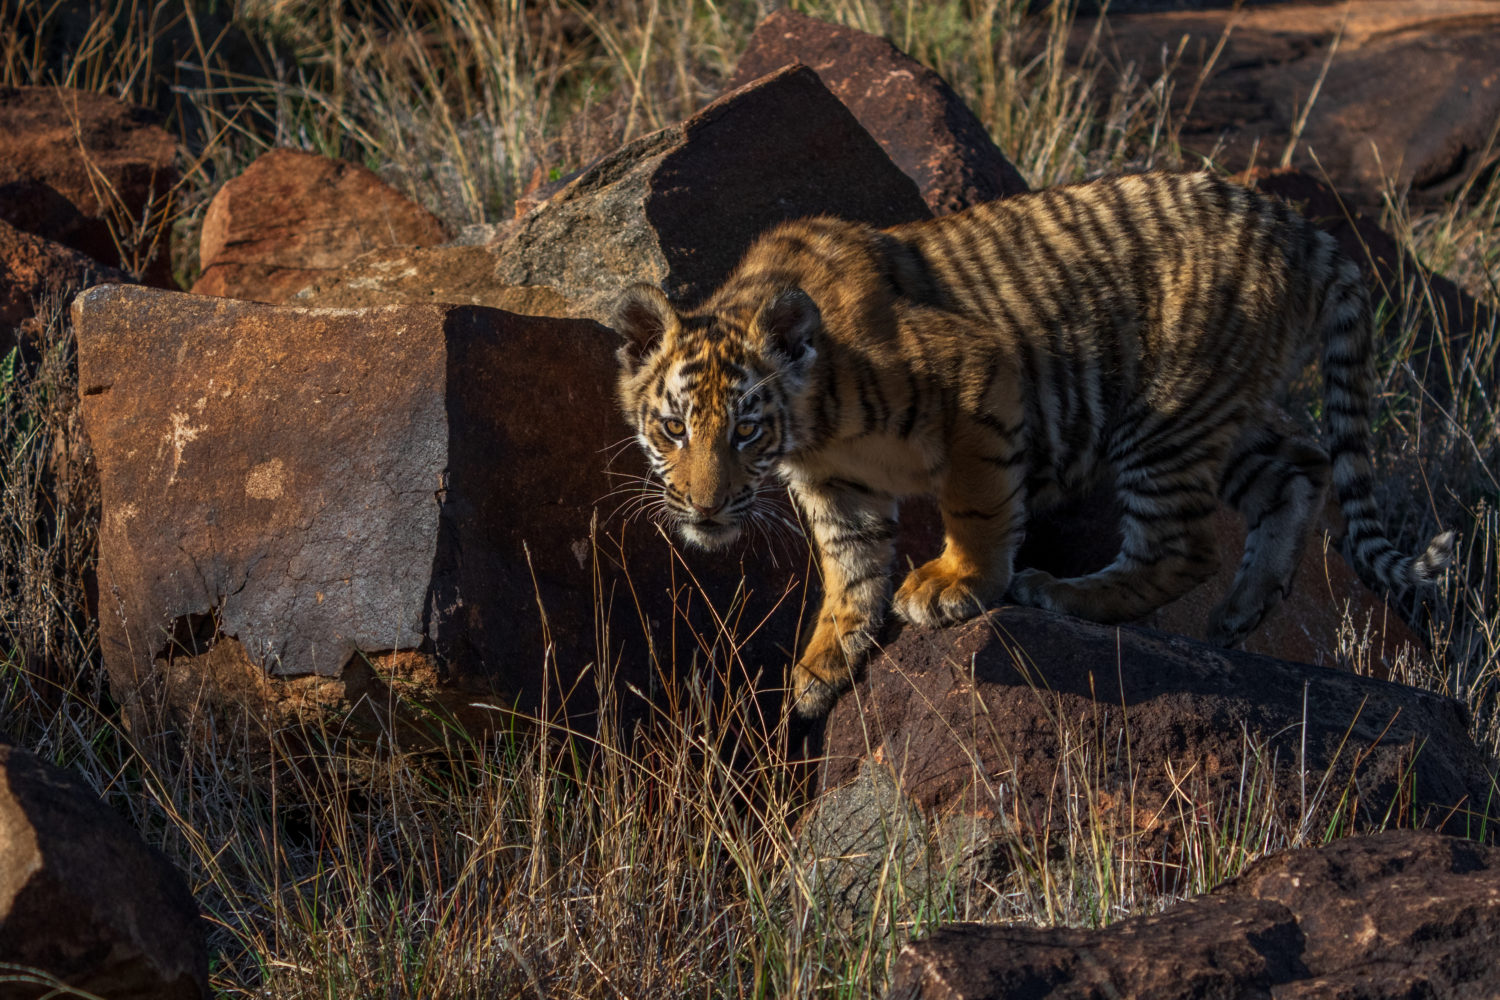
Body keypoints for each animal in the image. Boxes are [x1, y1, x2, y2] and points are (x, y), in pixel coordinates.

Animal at [613, 171, 1455, 718]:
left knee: (1183, 547)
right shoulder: (836, 484)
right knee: (1300, 468)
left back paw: (1065, 593)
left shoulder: (977, 375)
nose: (706, 507)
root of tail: (1301, 227)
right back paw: (1241, 614)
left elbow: (976, 506)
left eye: (746, 429)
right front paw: (826, 664)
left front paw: (955, 586)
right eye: (674, 427)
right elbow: (848, 566)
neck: (812, 424)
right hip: (1225, 410)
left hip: (1164, 413)